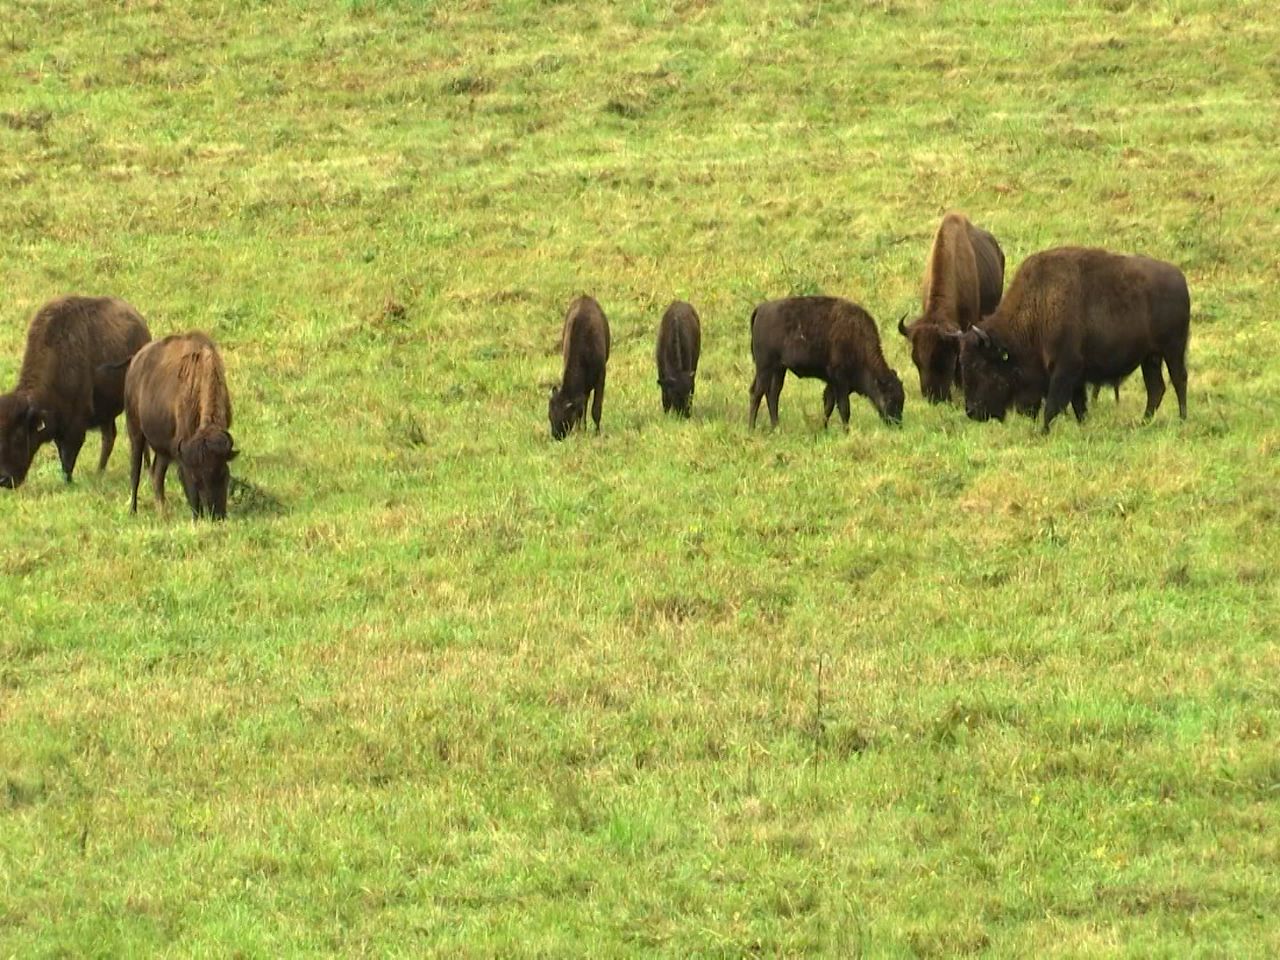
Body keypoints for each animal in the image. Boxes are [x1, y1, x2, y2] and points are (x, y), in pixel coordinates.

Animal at [0, 296, 150, 489]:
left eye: (18, 436)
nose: (3, 479)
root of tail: (141, 324)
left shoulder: (75, 427)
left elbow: (67, 458)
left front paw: (68, 482)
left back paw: (145, 468)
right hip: (106, 413)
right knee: (109, 437)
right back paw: (99, 472)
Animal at [124, 332, 238, 520]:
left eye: (224, 474)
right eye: (197, 479)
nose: (216, 515)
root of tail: (135, 363)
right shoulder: (184, 460)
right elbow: (192, 495)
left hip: (163, 451)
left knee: (157, 475)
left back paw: (162, 513)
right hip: (135, 433)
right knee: (135, 473)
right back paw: (133, 511)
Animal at [548, 296, 610, 440]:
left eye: (563, 419)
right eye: (550, 416)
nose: (556, 435)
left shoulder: (601, 376)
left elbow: (596, 408)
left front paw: (597, 432)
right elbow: (581, 410)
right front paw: (580, 430)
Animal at [748, 296, 904, 429]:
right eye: (891, 399)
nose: (897, 424)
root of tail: (761, 309)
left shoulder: (833, 383)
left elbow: (828, 405)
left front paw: (823, 428)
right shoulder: (840, 380)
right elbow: (844, 408)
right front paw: (845, 431)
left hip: (779, 369)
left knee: (773, 394)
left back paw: (776, 427)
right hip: (764, 368)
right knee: (757, 393)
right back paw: (752, 428)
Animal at [949, 247, 1190, 433]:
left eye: (981, 366)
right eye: (963, 364)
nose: (972, 411)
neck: (1037, 307)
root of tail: (1180, 278)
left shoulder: (1065, 367)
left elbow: (1054, 405)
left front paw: (1043, 431)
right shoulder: (1076, 376)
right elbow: (1078, 405)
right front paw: (1082, 425)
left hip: (1173, 350)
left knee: (1179, 380)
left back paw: (1182, 419)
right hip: (1150, 357)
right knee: (1156, 388)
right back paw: (1143, 422)